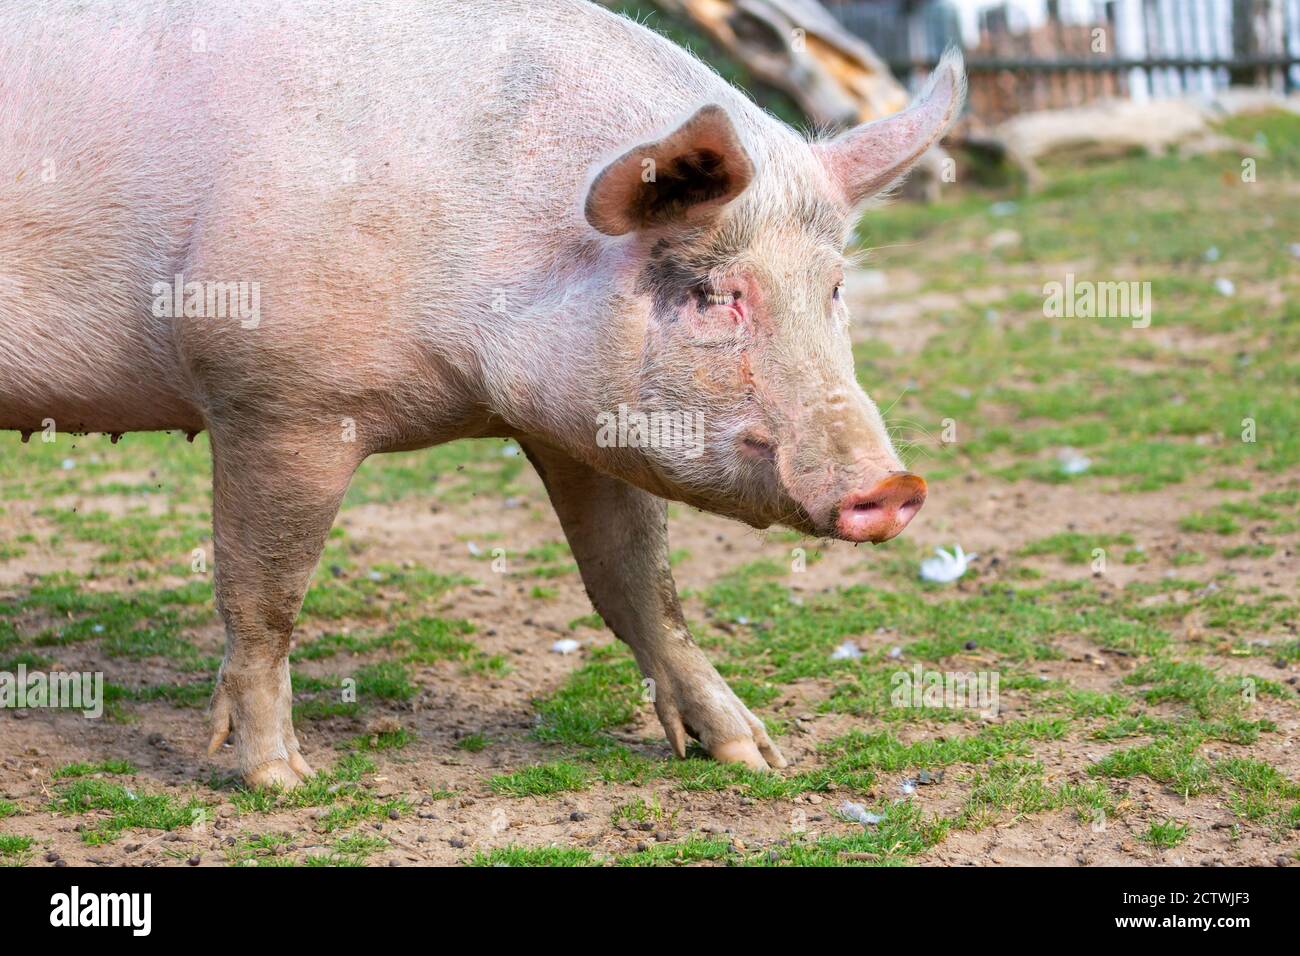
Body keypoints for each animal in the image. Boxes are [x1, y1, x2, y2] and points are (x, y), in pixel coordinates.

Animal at [0, 0, 963, 786]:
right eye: (710, 293)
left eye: (834, 287)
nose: (896, 485)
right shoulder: (274, 398)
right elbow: (263, 597)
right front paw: (283, 783)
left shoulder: (581, 430)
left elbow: (639, 587)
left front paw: (754, 756)